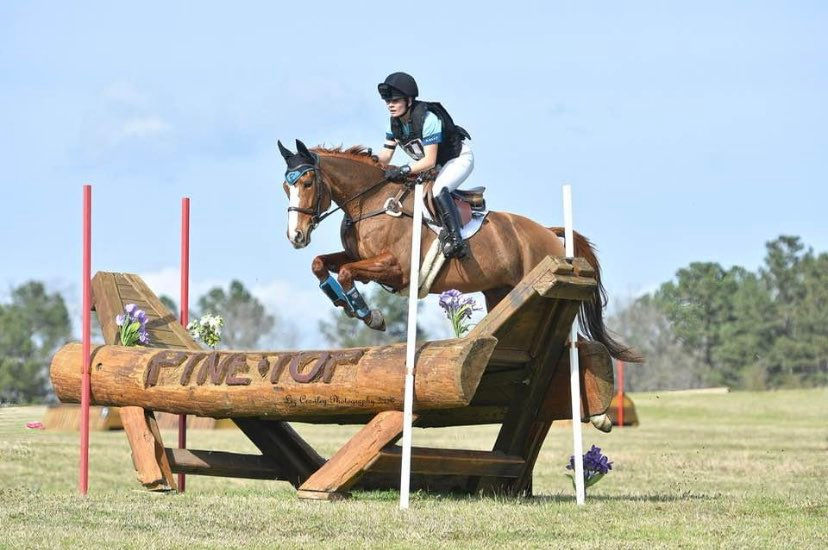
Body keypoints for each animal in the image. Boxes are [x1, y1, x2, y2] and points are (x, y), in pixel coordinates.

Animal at [278, 139, 641, 363]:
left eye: (307, 183)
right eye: (285, 186)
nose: (295, 236)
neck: (370, 201)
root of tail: (550, 234)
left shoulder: (395, 268)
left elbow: (347, 272)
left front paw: (370, 315)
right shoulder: (361, 260)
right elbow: (321, 264)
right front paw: (342, 301)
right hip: (502, 295)